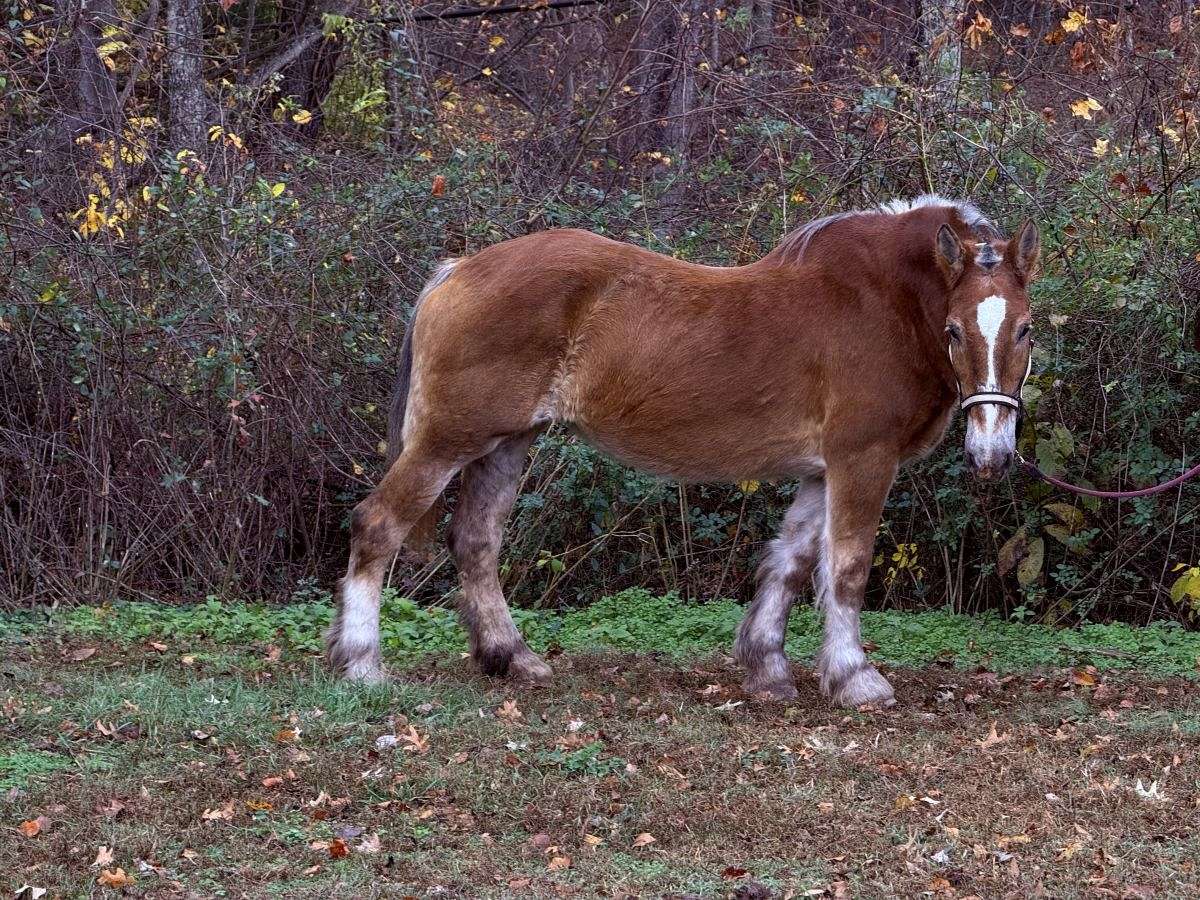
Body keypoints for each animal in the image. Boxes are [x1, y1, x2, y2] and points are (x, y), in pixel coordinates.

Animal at [325, 194, 1039, 708]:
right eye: (954, 330)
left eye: (1026, 329)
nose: (992, 452)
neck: (884, 304)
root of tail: (458, 270)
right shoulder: (861, 461)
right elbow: (847, 568)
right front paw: (855, 679)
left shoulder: (821, 471)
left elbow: (790, 563)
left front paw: (767, 668)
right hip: (449, 440)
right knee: (378, 524)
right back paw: (361, 664)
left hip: (506, 444)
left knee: (476, 541)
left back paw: (513, 656)